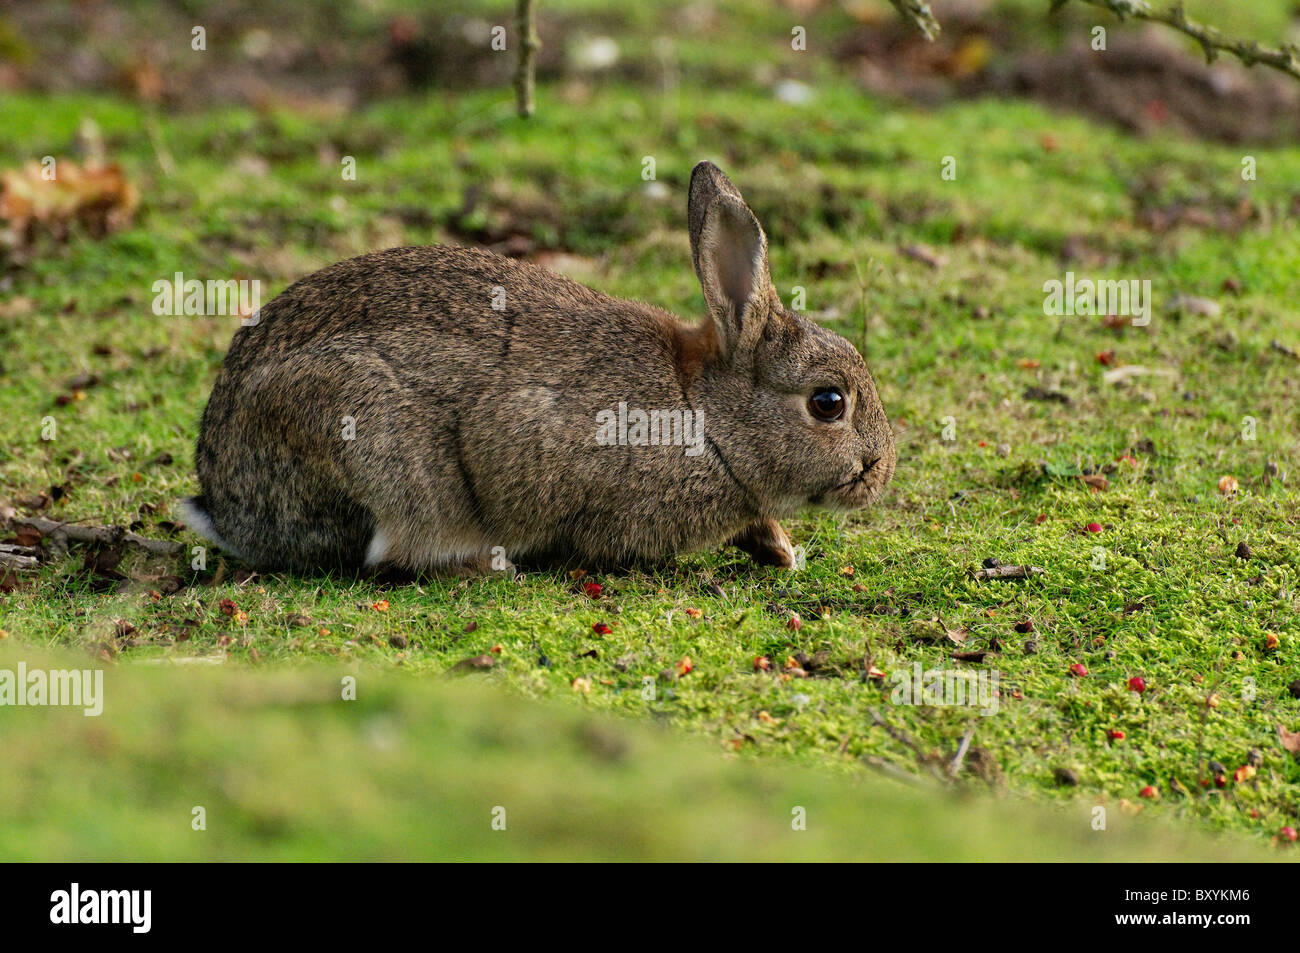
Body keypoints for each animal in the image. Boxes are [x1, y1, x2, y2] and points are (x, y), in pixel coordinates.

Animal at [181, 161, 896, 574]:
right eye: (828, 403)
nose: (880, 472)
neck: (705, 415)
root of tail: (224, 504)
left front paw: (781, 548)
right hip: (362, 435)